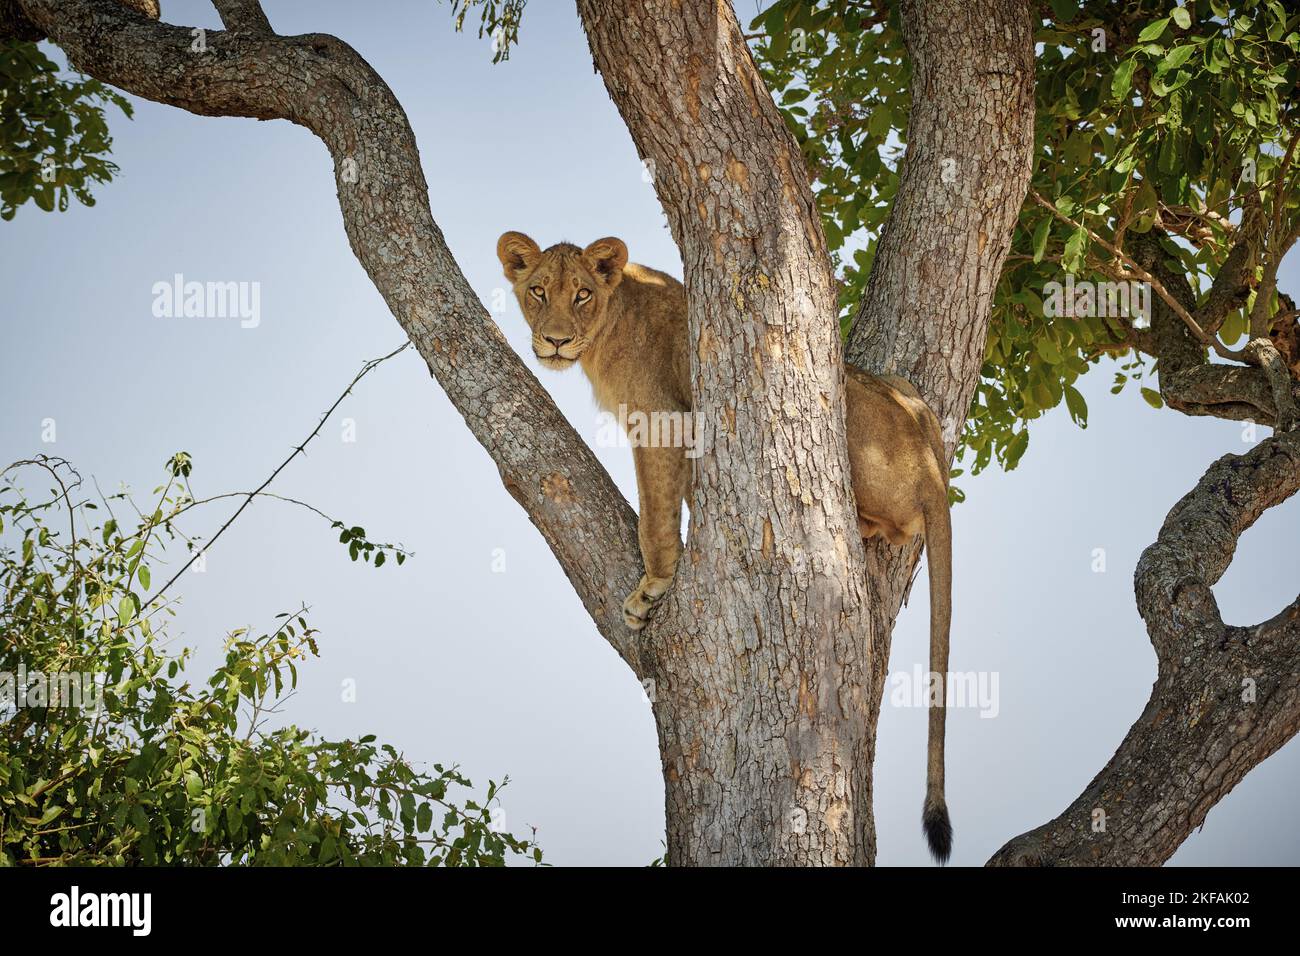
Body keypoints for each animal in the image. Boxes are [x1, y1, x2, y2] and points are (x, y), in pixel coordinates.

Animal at [497, 231, 954, 862]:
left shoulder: (660, 420)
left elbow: (657, 514)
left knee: (900, 525)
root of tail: (930, 463)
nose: (557, 339)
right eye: (538, 291)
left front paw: (653, 587)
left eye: (582, 294)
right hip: (910, 396)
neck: (611, 324)